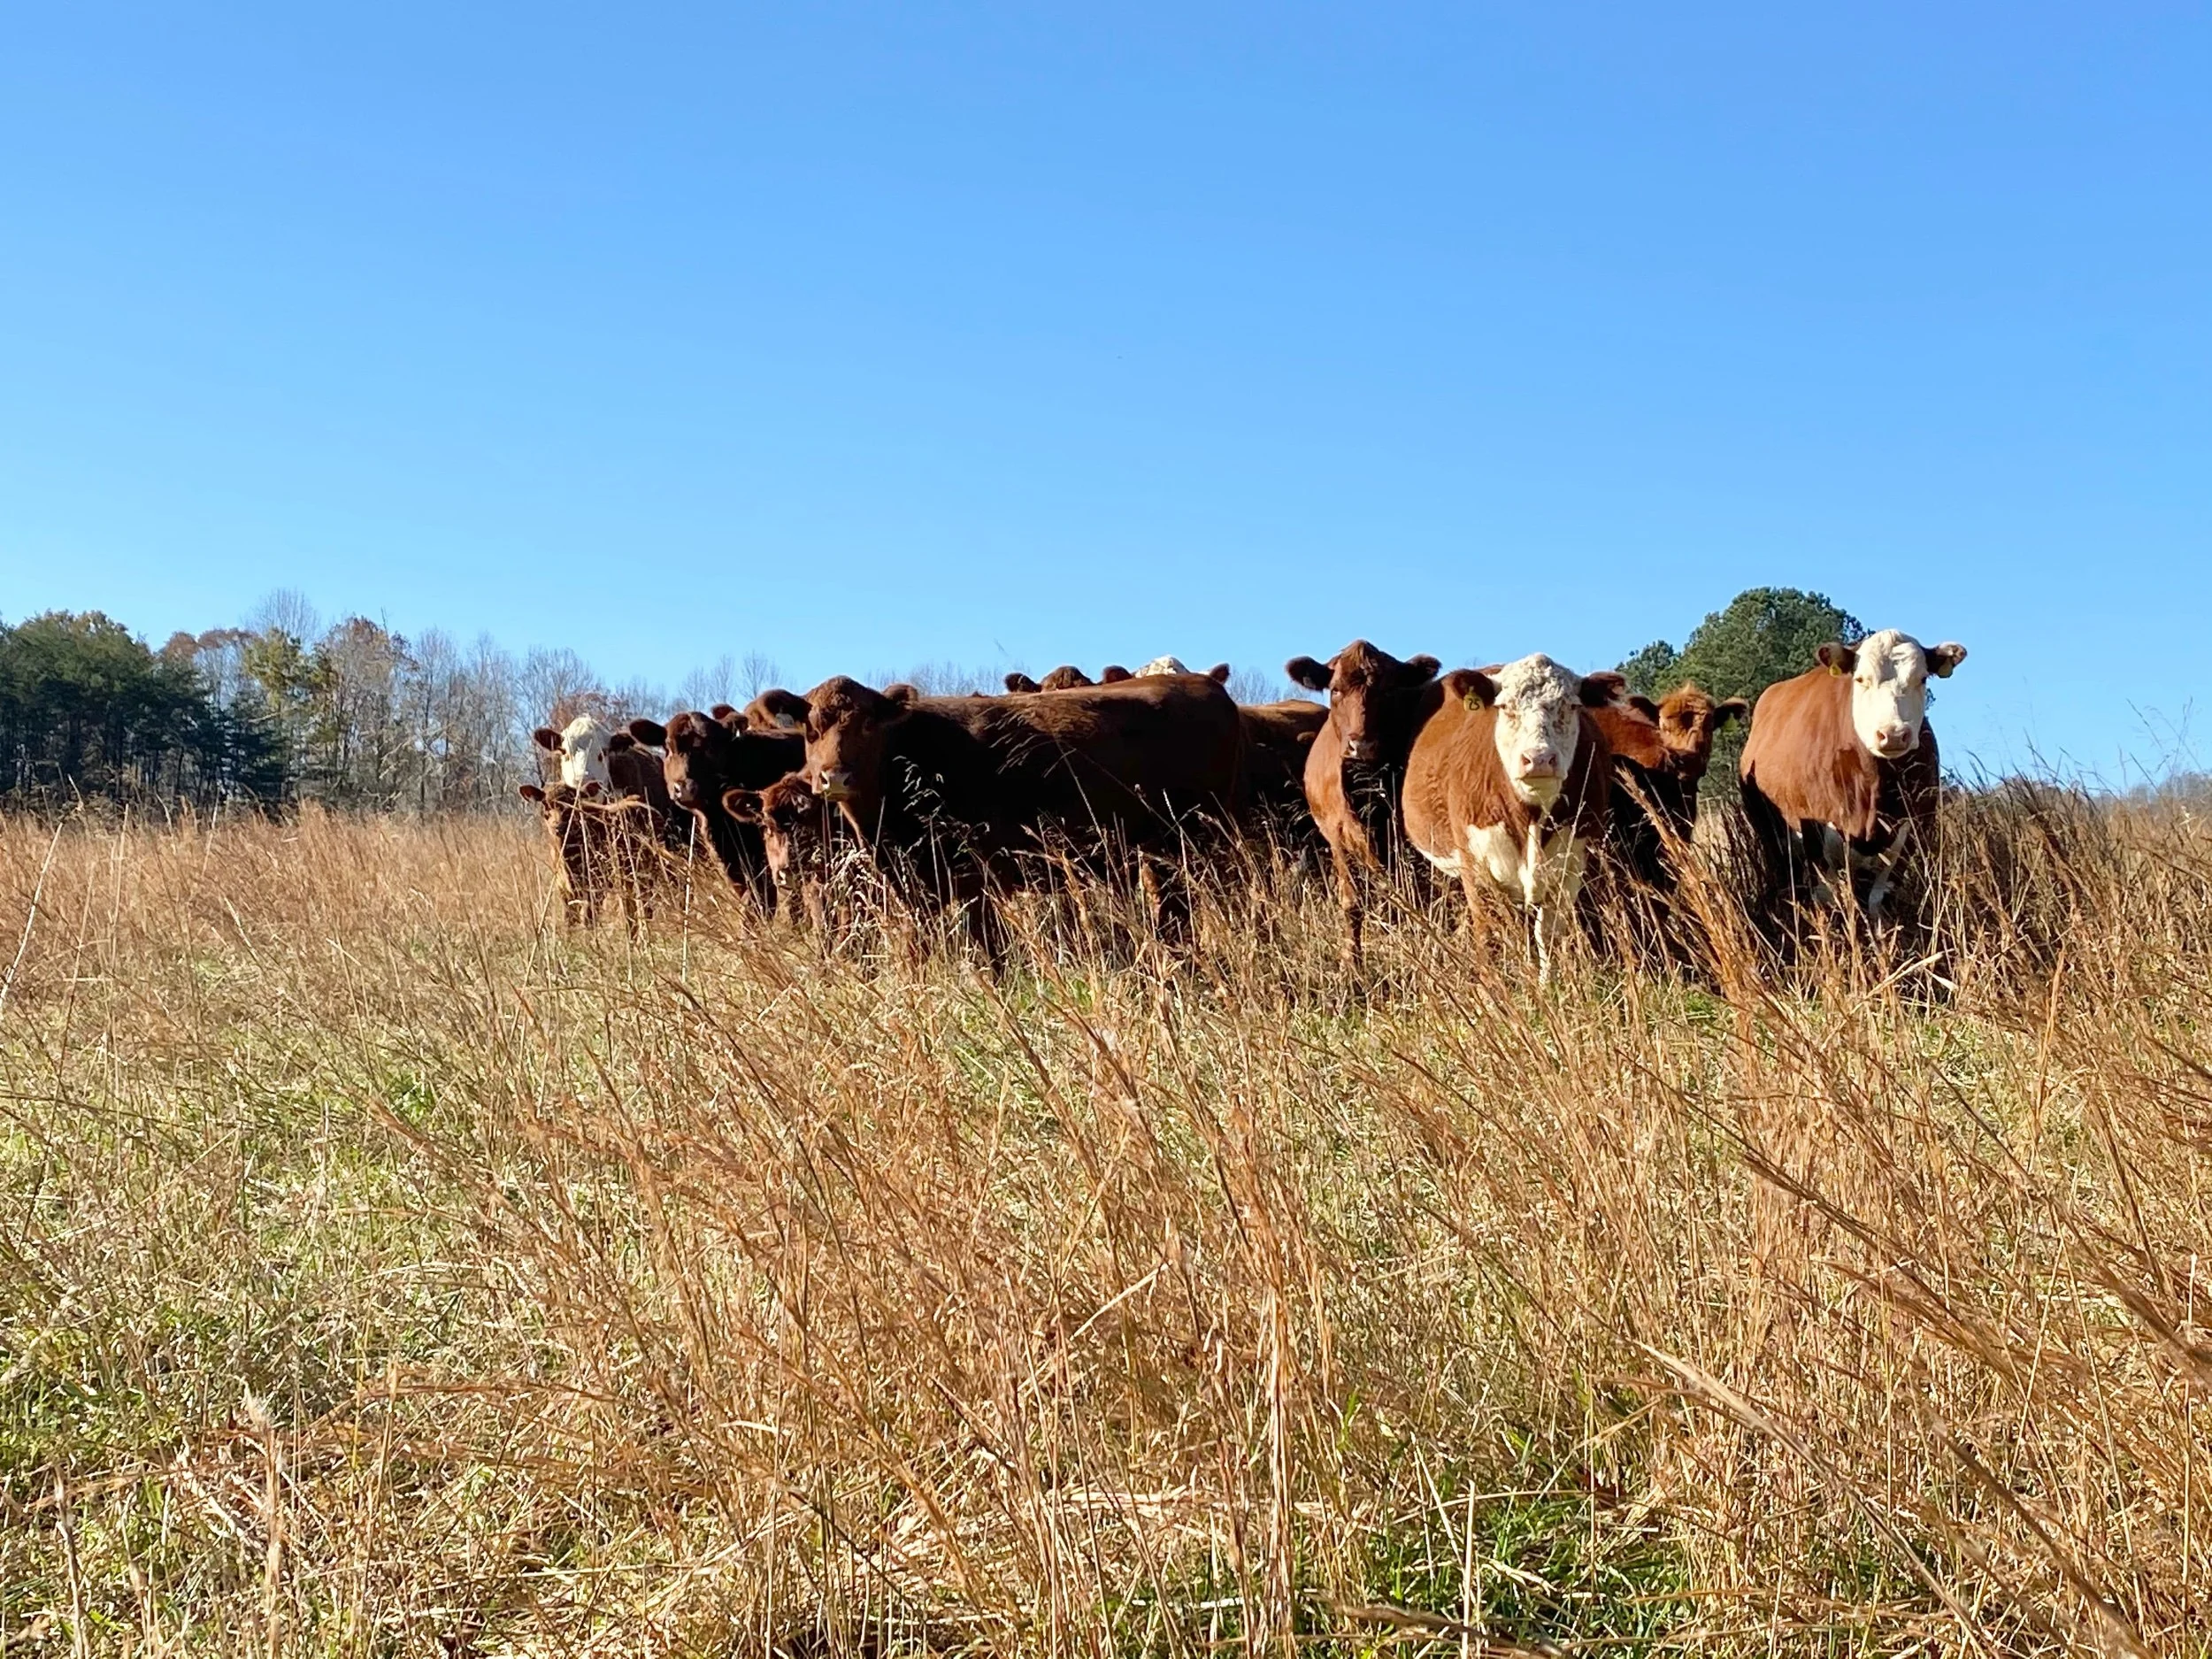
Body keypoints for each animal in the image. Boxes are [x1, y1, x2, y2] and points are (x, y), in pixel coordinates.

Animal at [1284, 641, 1444, 969]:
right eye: (1335, 690)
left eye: (1389, 690)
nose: (1362, 745)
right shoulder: (1338, 837)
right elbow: (1352, 903)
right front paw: (1353, 966)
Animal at [1401, 655, 1621, 981]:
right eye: (1505, 707)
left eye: (1571, 706)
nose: (1539, 758)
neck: (1532, 818)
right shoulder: (1476, 867)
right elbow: (1491, 937)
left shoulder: (1572, 867)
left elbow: (1547, 936)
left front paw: (1546, 986)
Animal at [1738, 629, 1966, 922]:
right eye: (1860, 679)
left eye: (1922, 678)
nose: (1893, 734)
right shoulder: (1812, 835)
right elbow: (1830, 900)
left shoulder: (1912, 832)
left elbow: (1879, 901)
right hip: (1771, 833)